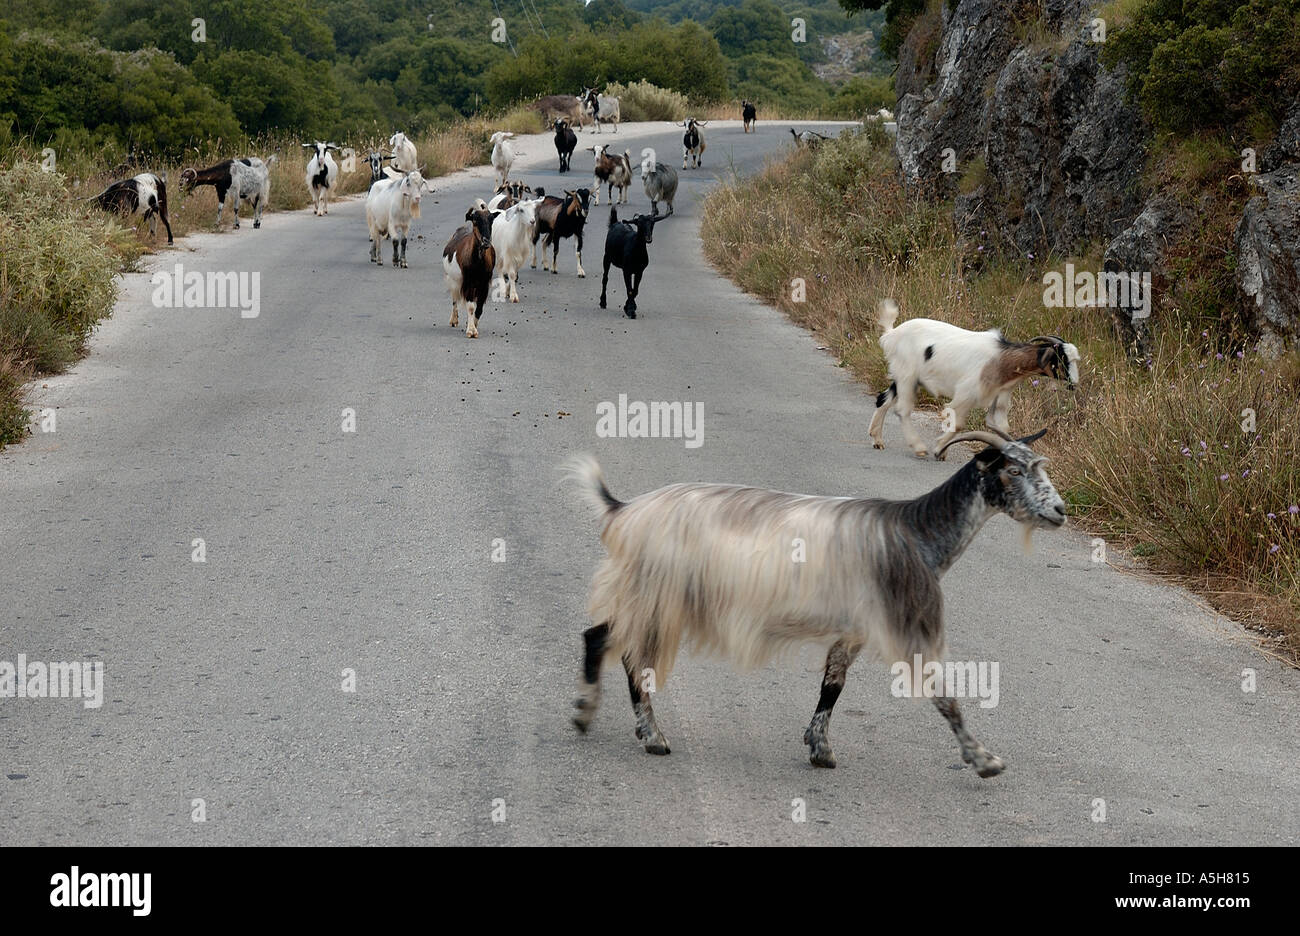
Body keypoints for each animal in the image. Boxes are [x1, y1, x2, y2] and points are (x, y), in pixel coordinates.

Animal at [442, 209, 497, 339]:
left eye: (492, 220)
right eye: (475, 221)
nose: (486, 241)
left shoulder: (484, 283)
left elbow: (479, 308)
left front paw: (473, 325)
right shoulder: (468, 282)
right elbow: (471, 306)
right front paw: (471, 330)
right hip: (453, 280)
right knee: (455, 298)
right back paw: (454, 320)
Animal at [566, 429, 1066, 775]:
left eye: (1037, 466)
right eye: (1013, 470)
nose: (1060, 511)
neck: (917, 534)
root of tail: (623, 511)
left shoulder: (855, 627)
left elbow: (833, 685)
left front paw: (819, 747)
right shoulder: (905, 625)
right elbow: (945, 697)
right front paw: (984, 761)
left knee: (618, 646)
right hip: (653, 592)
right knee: (606, 641)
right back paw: (628, 727)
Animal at [869, 300, 1081, 459]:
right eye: (1062, 359)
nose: (1074, 384)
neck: (1001, 358)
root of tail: (891, 334)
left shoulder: (1001, 396)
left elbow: (1002, 426)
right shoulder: (965, 394)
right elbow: (957, 423)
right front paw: (939, 449)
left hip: (904, 375)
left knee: (883, 399)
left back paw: (877, 439)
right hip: (908, 376)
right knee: (902, 410)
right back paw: (919, 447)